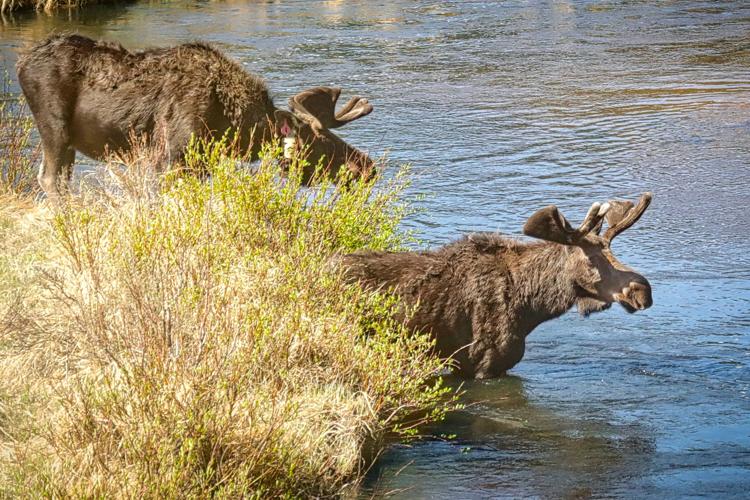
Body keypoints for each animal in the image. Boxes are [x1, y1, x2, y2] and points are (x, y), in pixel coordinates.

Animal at [16, 34, 375, 199]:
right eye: (320, 140)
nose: (367, 168)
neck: (233, 121)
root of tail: (21, 65)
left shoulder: (199, 166)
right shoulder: (169, 159)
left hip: (69, 143)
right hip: (54, 129)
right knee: (48, 179)